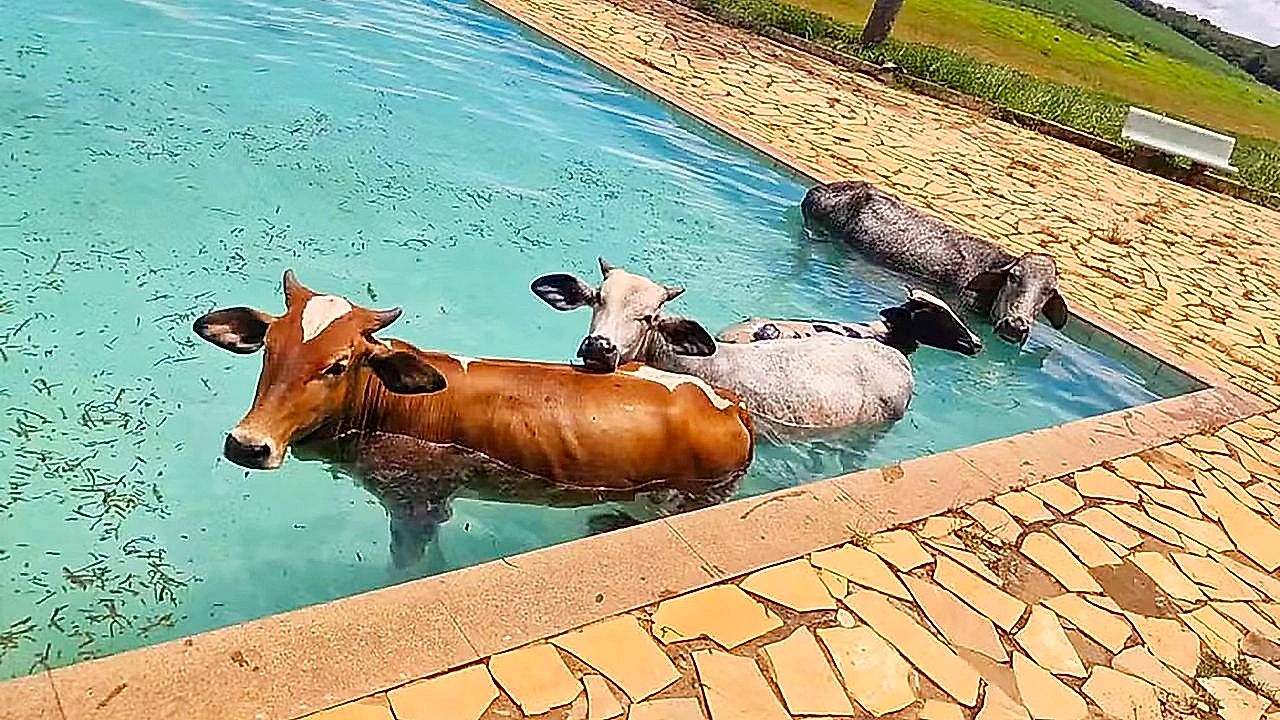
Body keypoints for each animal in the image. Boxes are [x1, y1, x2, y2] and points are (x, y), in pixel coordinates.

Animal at [193, 271, 753, 567]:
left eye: (338, 364)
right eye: (269, 348)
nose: (247, 445)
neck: (390, 402)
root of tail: (727, 401)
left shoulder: (419, 504)